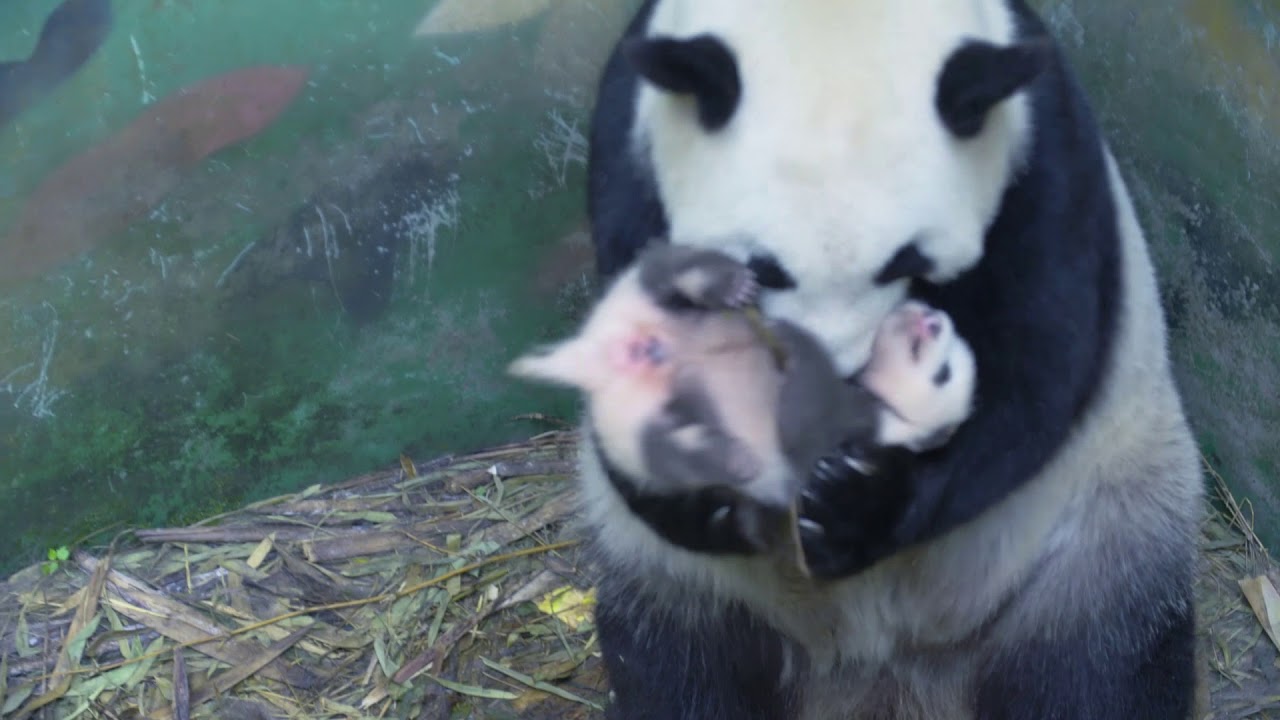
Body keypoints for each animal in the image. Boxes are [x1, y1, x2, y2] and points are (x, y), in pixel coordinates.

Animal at [578, 0, 1207, 719]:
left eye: (909, 262)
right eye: (761, 268)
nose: (837, 383)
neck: (832, 21)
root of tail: (881, 667)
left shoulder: (1042, 156)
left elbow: (1037, 358)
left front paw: (854, 502)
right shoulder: (629, 149)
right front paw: (704, 483)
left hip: (1099, 530)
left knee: (1097, 667)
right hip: (694, 583)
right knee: (681, 665)